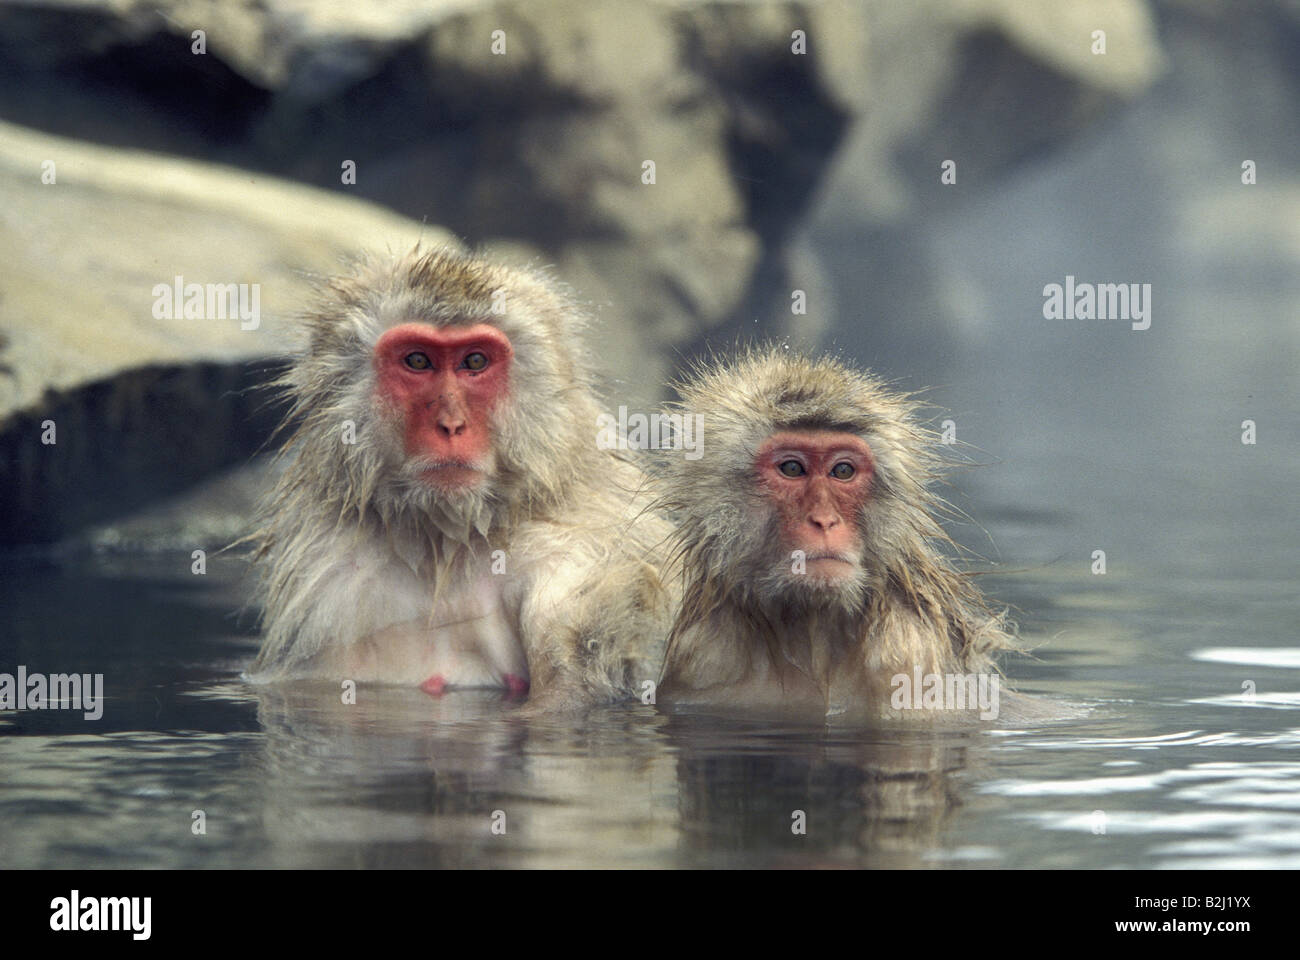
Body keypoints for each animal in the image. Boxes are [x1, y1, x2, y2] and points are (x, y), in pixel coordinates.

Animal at [245, 246, 673, 710]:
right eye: (418, 361)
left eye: (475, 361)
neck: (451, 546)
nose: (451, 425)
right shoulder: (329, 586)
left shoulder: (580, 566)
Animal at [653, 347, 1017, 720]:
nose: (824, 521)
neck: (814, 634)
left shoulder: (910, 655)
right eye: (792, 468)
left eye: (842, 471)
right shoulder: (707, 663)